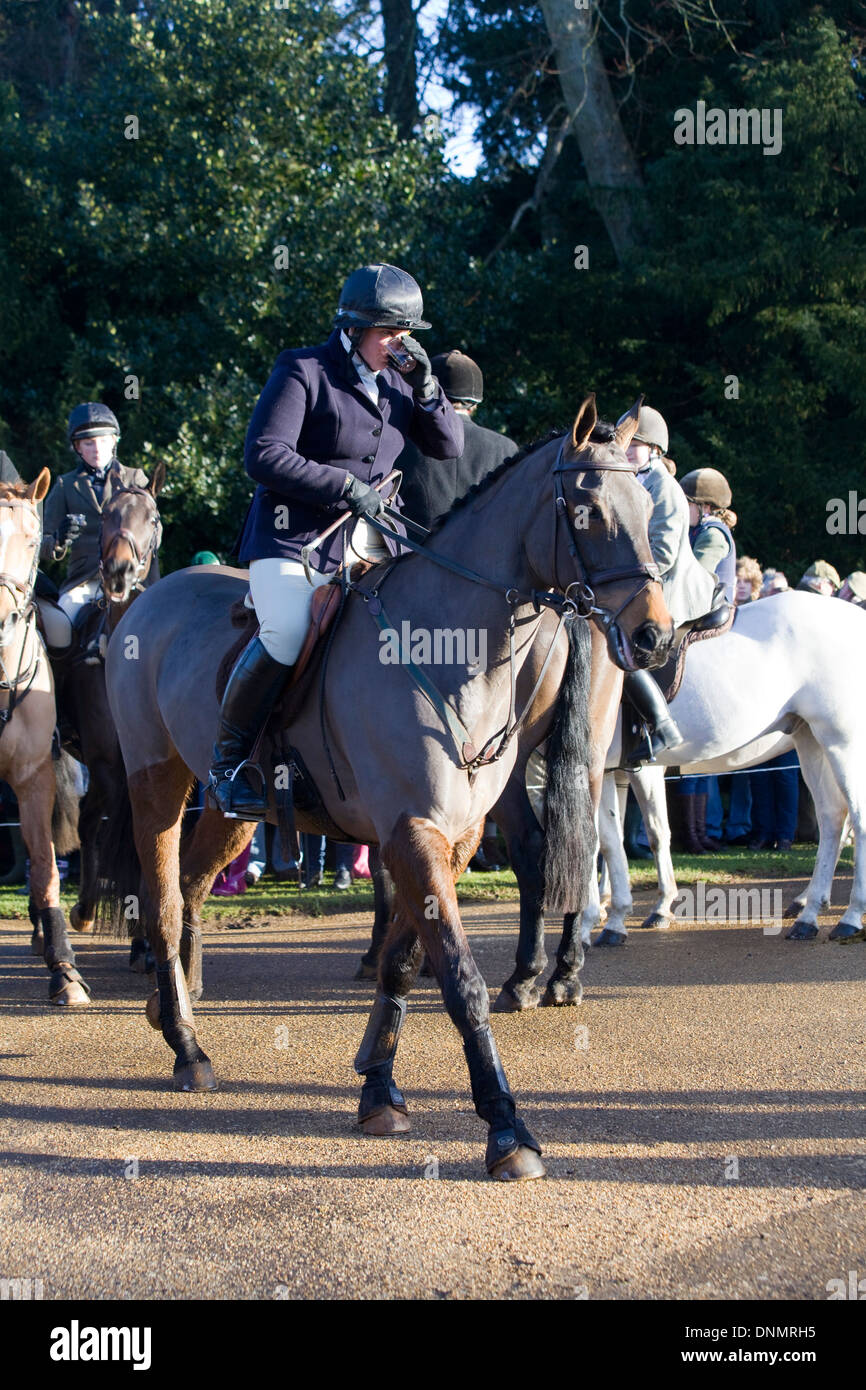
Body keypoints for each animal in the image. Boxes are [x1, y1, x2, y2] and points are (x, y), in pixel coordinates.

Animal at [97, 397, 675, 1178]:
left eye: (647, 509)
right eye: (587, 510)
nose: (654, 637)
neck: (449, 645)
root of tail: (150, 598)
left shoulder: (448, 839)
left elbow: (404, 964)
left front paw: (379, 1088)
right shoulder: (411, 833)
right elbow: (459, 978)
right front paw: (505, 1127)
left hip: (233, 808)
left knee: (189, 886)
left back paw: (175, 1005)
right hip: (156, 782)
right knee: (159, 902)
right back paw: (187, 1047)